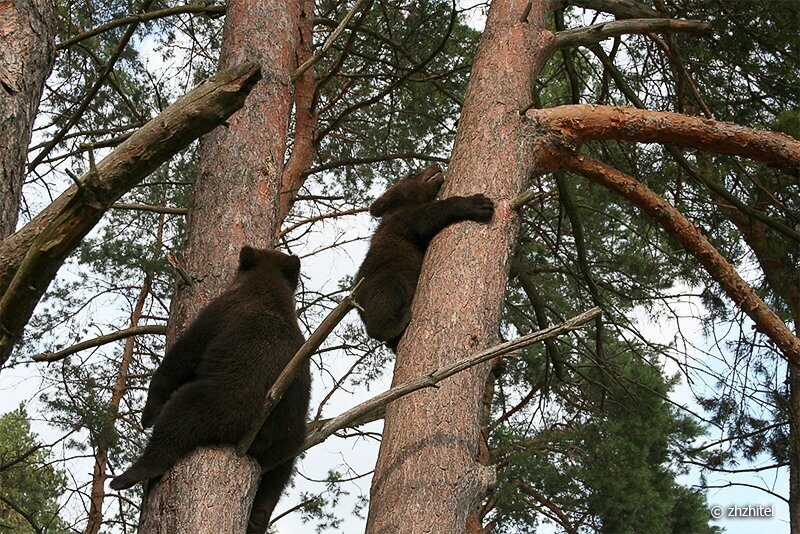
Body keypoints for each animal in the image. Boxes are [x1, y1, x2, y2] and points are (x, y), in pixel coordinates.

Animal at [111, 247, 310, 534]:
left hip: (224, 399)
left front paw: (148, 414)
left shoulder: (218, 314)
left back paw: (131, 473)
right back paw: (256, 519)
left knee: (178, 419)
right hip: (288, 441)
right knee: (273, 485)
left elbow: (181, 357)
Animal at [354, 165, 494, 354]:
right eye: (412, 174)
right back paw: (395, 324)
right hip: (382, 278)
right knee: (387, 295)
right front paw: (478, 203)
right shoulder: (405, 220)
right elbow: (429, 217)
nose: (435, 165)